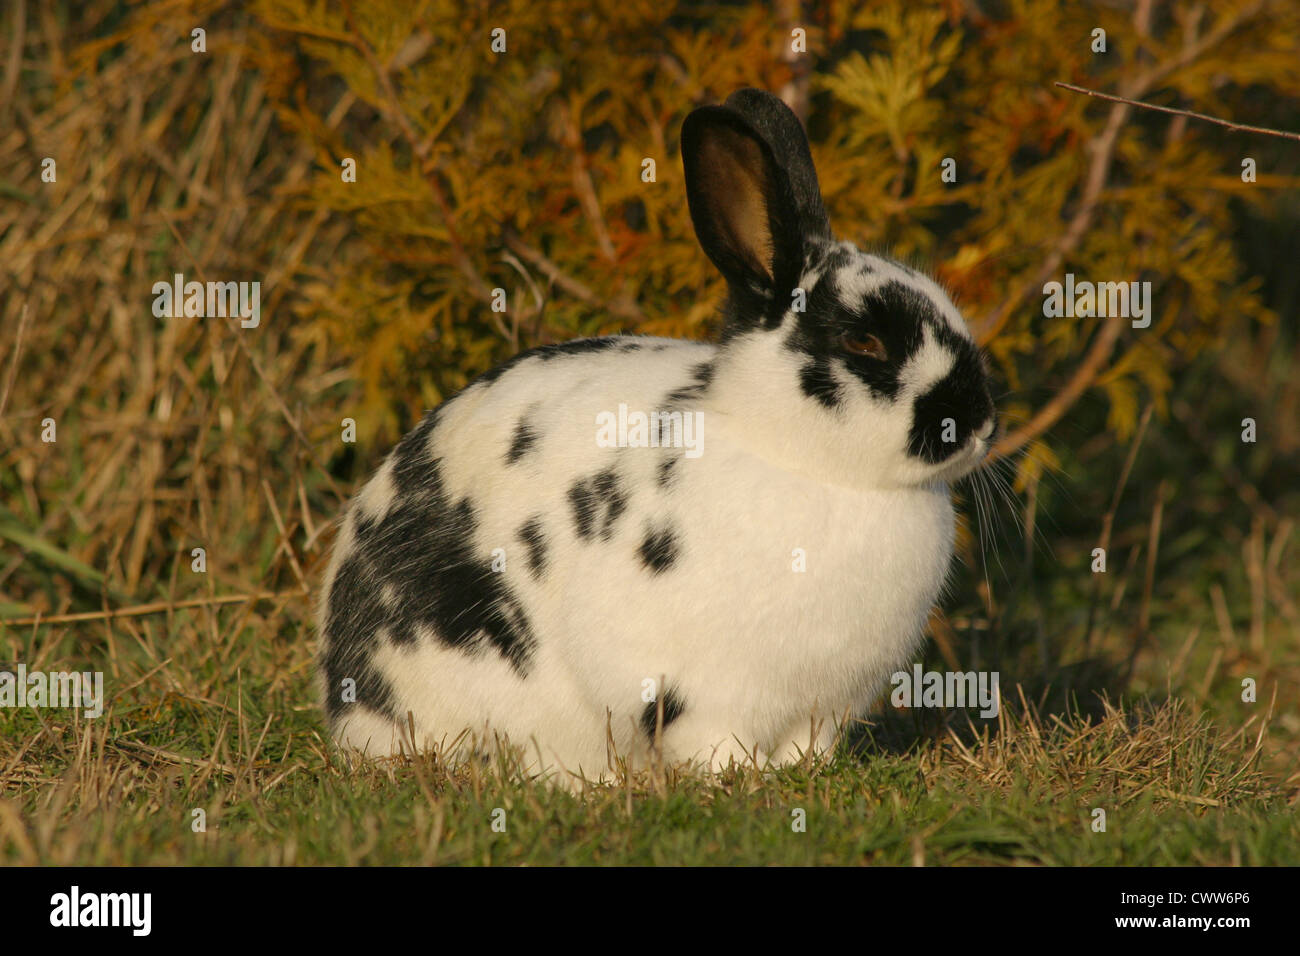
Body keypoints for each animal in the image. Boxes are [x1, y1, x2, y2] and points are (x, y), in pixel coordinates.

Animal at [316, 88, 997, 784]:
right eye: (864, 342)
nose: (977, 421)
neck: (807, 464)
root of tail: (346, 703)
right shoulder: (698, 688)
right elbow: (710, 739)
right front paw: (738, 781)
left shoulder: (824, 706)